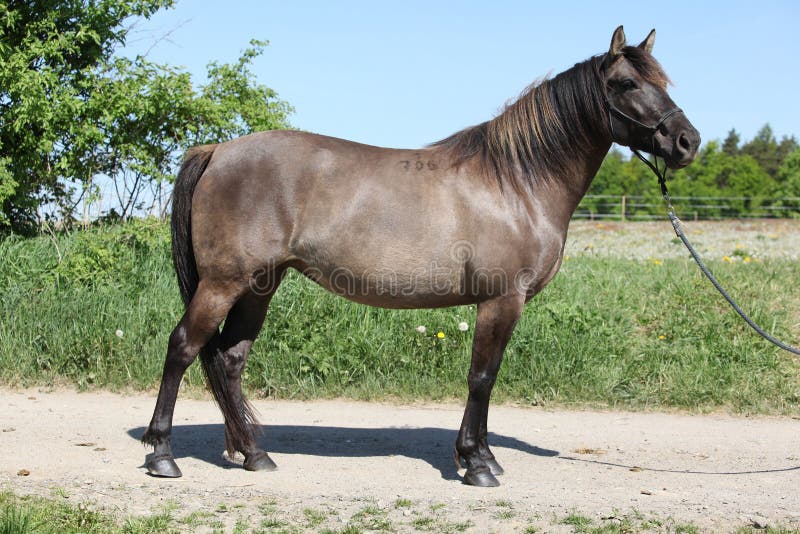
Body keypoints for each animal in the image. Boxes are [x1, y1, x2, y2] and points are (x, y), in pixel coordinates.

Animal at [142, 26, 700, 487]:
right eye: (626, 83)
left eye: (662, 80)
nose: (687, 141)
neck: (516, 182)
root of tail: (217, 150)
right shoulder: (501, 300)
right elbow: (482, 376)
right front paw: (476, 464)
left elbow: (488, 377)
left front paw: (485, 456)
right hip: (223, 282)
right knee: (183, 347)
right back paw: (162, 455)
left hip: (260, 285)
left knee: (229, 359)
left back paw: (253, 454)